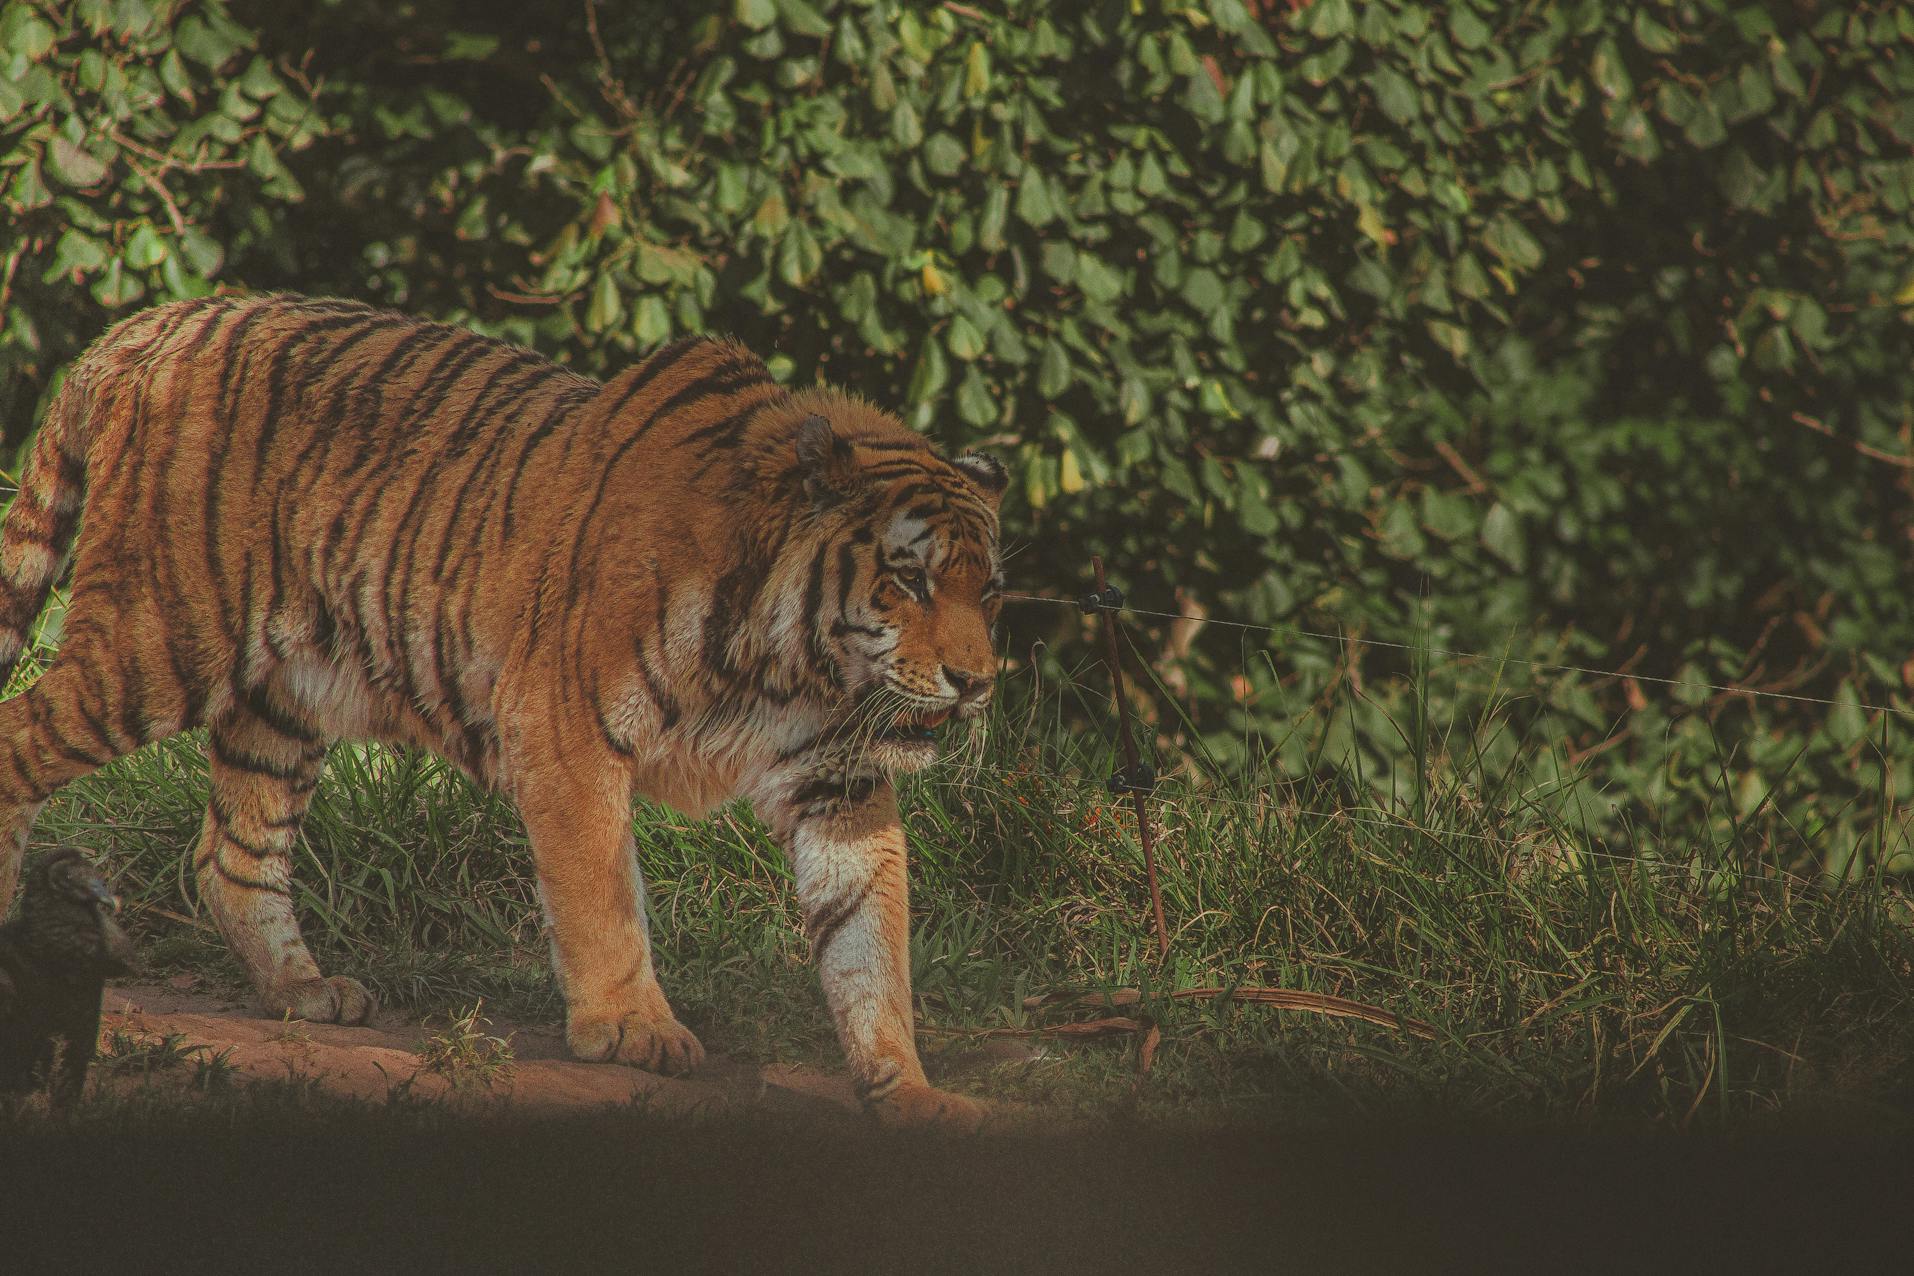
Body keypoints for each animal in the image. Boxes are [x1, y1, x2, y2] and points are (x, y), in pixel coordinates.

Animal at [0, 293, 1007, 1127]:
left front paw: (909, 1093)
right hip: (158, 641)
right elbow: (602, 897)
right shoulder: (567, 730)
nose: (977, 682)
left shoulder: (840, 783)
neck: (792, 665)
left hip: (281, 700)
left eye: (988, 589)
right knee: (21, 740)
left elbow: (870, 944)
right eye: (910, 578)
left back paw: (304, 991)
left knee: (231, 851)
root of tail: (152, 323)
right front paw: (633, 1031)